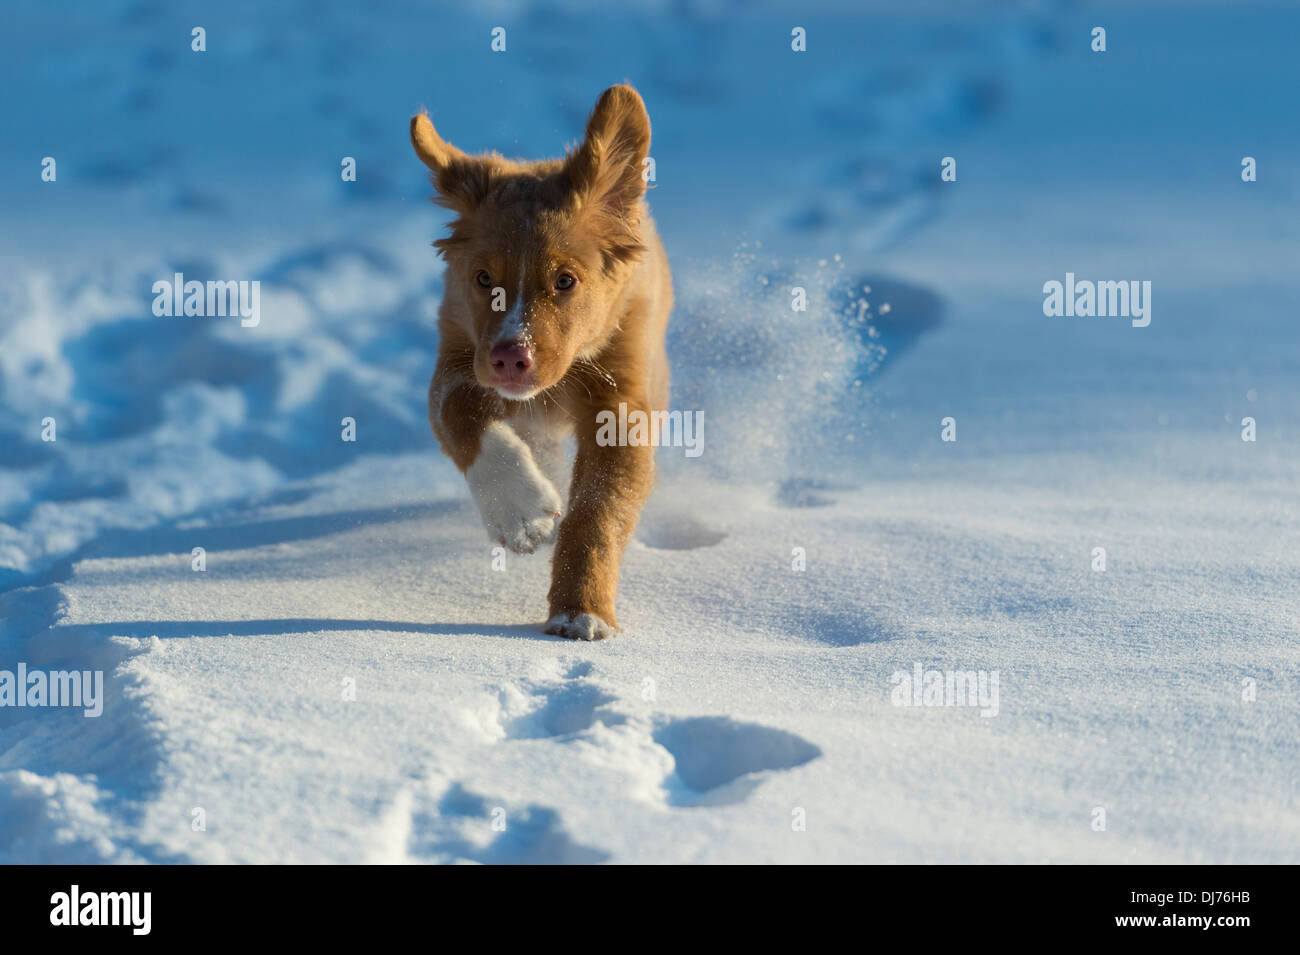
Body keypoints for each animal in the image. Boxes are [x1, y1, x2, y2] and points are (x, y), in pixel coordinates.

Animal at [410, 83, 676, 641]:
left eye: (565, 280)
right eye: (483, 278)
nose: (511, 358)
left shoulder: (624, 398)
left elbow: (598, 510)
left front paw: (581, 612)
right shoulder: (459, 353)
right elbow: (459, 412)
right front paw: (521, 511)